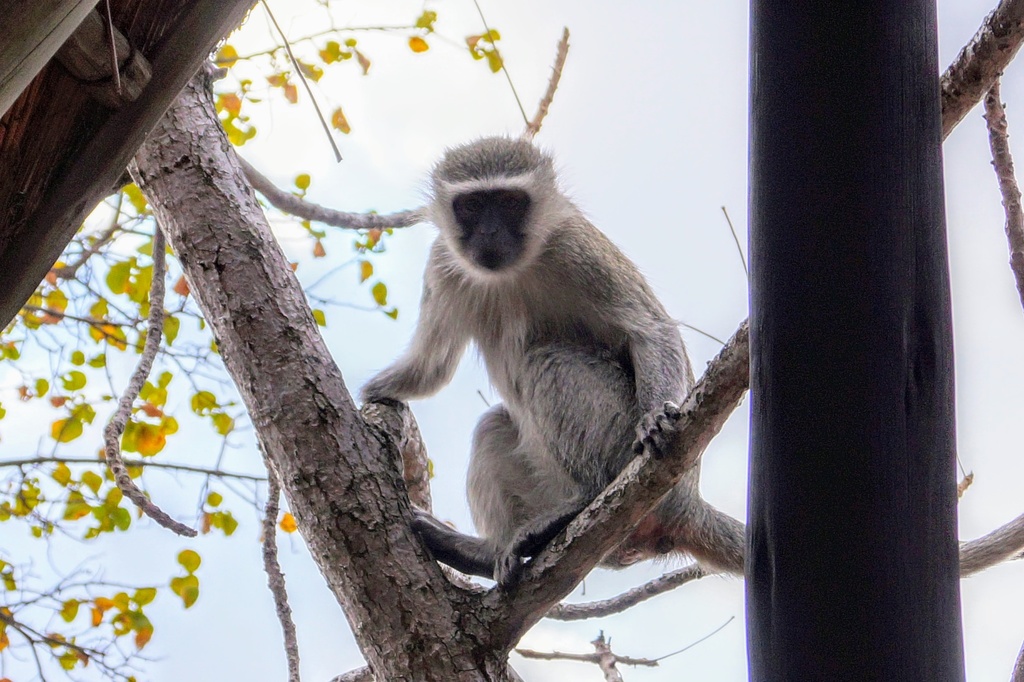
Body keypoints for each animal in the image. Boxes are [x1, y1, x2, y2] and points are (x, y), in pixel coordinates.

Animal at [360, 136, 744, 586]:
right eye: (472, 206)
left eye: (510, 202)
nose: (490, 232)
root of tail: (686, 502)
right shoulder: (442, 265)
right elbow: (427, 370)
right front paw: (373, 394)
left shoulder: (575, 245)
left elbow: (651, 330)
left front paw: (654, 418)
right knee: (493, 425)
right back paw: (483, 551)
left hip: (618, 441)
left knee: (546, 361)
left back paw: (581, 501)